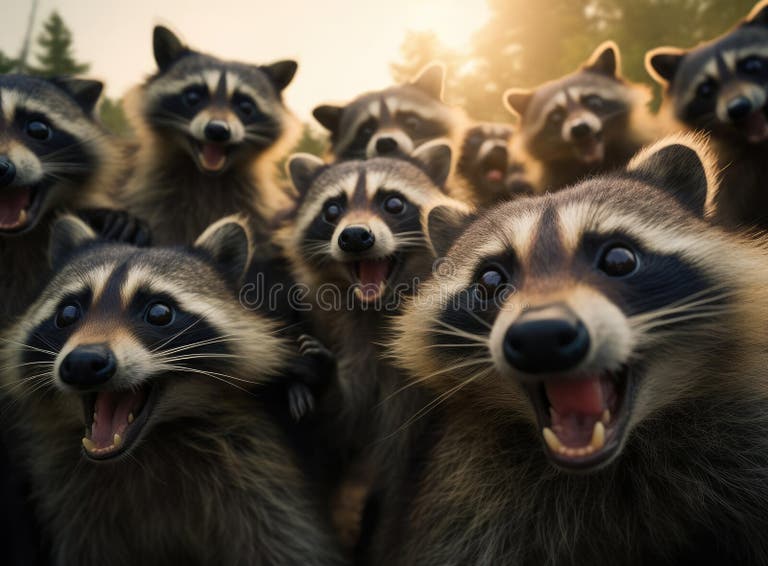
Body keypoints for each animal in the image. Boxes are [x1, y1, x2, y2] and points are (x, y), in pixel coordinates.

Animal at [0, 215, 345, 566]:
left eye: (159, 313)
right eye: (67, 314)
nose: (83, 363)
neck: (153, 440)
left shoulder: (263, 483)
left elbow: (287, 542)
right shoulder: (75, 506)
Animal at [279, 141, 470, 549]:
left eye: (393, 204)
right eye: (332, 210)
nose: (354, 237)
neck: (375, 308)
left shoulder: (415, 386)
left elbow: (400, 475)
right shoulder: (341, 336)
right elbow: (340, 426)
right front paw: (322, 381)